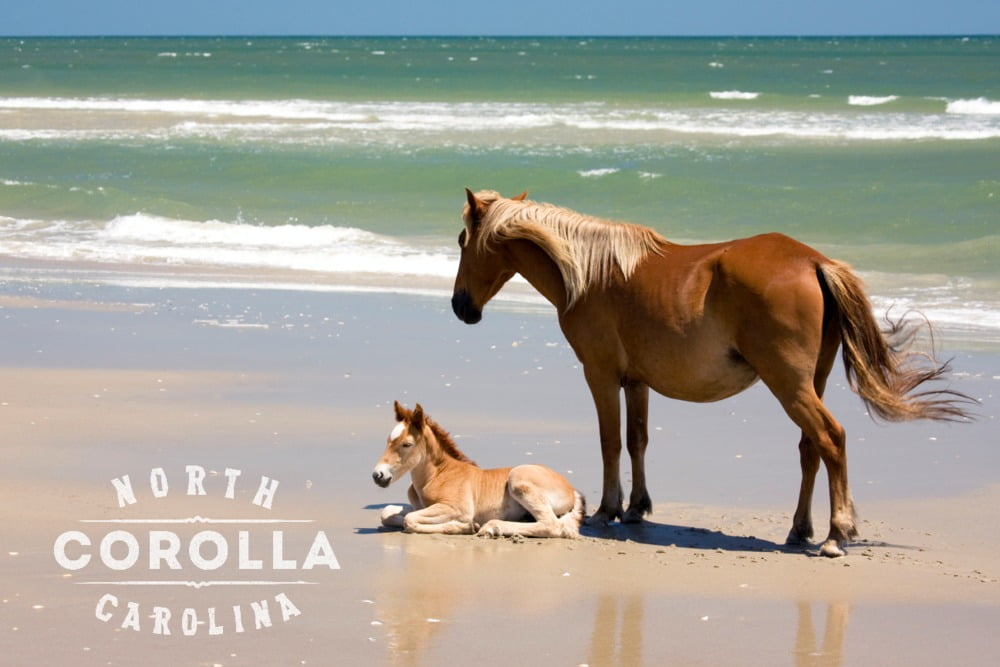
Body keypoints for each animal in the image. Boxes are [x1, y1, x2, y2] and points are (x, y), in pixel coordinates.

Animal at [372, 401, 586, 538]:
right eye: (388, 440)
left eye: (406, 444)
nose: (378, 475)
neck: (437, 475)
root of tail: (571, 490)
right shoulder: (421, 507)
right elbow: (387, 513)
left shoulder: (456, 508)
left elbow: (409, 520)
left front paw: (464, 527)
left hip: (518, 479)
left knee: (551, 525)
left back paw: (491, 528)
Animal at [451, 188, 974, 557]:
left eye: (461, 241)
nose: (461, 307)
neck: (592, 273)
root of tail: (813, 261)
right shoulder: (636, 381)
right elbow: (637, 440)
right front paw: (637, 507)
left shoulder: (599, 374)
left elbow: (611, 442)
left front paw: (607, 509)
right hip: (812, 382)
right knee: (811, 449)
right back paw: (800, 529)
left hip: (790, 385)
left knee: (831, 439)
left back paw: (835, 534)